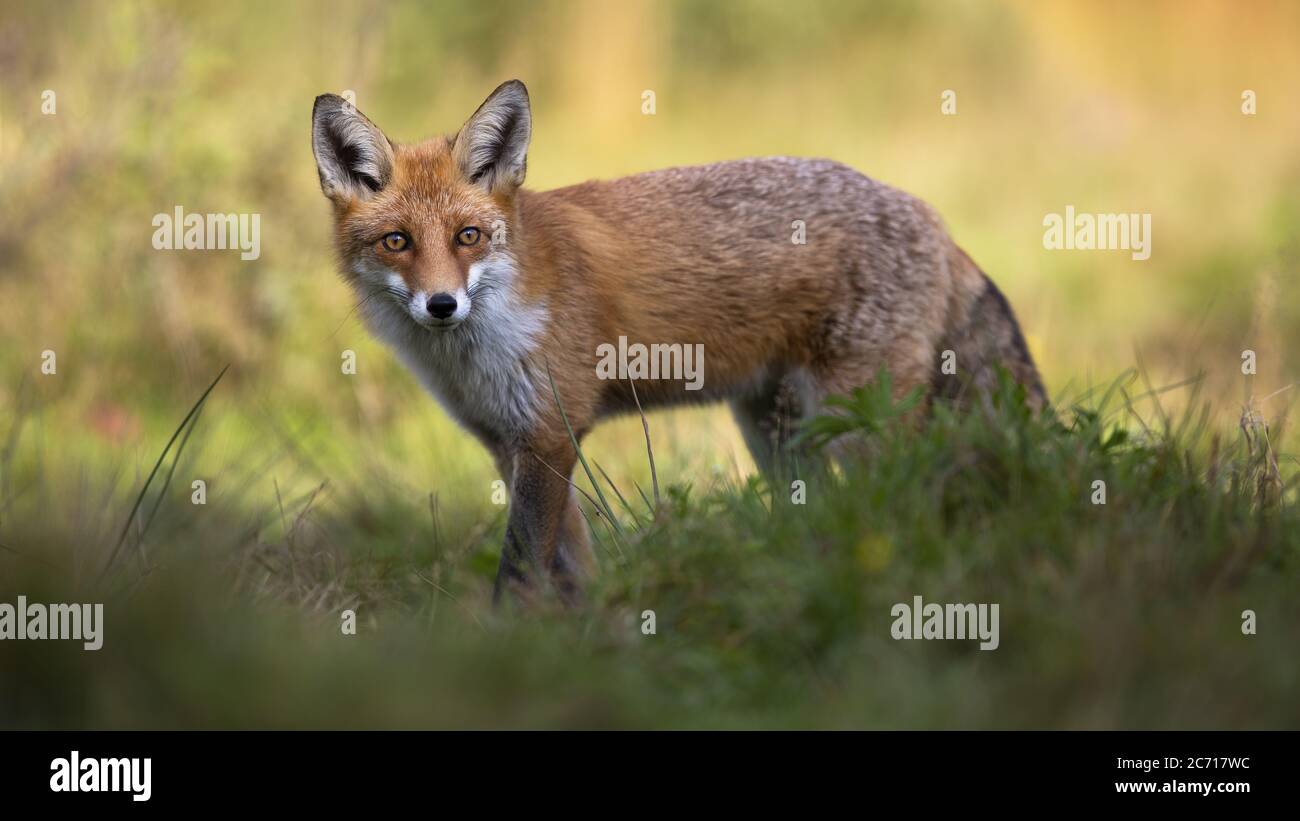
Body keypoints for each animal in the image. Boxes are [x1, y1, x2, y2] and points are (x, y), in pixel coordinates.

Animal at [311, 80, 1045, 603]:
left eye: (467, 236)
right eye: (397, 242)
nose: (441, 304)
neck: (476, 349)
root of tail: (932, 217)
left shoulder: (550, 433)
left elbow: (518, 573)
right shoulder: (510, 443)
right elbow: (573, 568)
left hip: (860, 426)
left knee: (906, 498)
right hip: (775, 432)